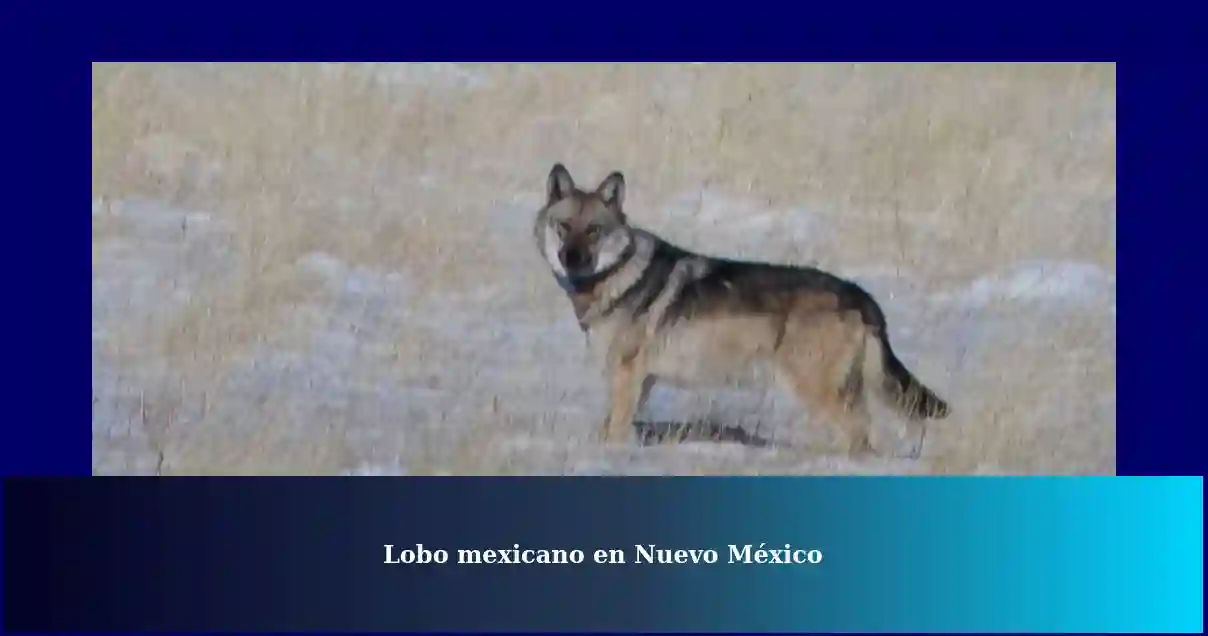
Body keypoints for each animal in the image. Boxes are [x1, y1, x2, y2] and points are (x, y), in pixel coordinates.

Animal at [533, 164, 949, 456]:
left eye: (593, 230)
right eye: (563, 226)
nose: (571, 259)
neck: (616, 278)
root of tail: (861, 296)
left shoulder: (625, 377)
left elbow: (616, 433)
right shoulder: (643, 380)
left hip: (816, 390)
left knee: (860, 437)